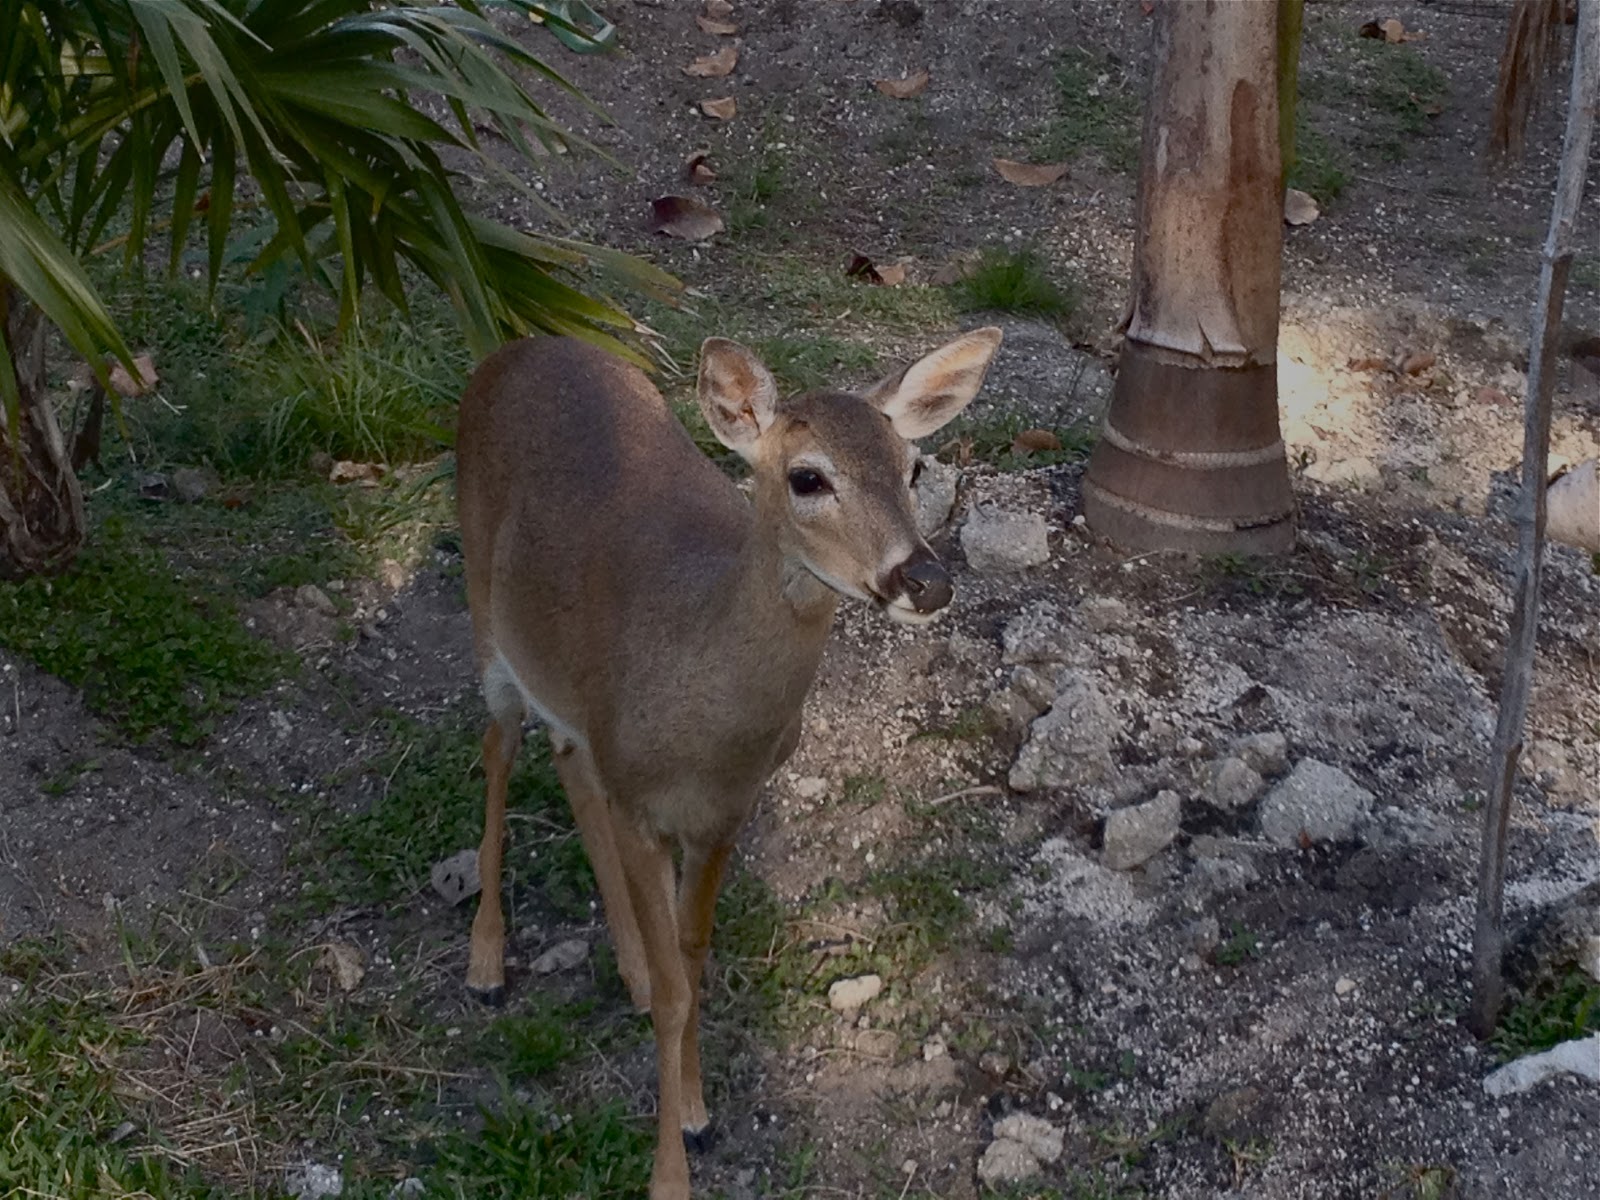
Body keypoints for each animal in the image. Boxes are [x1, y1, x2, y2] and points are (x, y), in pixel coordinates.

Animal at [454, 326, 1002, 1199]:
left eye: (914, 467)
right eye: (807, 476)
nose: (925, 580)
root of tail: (519, 347)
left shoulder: (726, 811)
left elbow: (692, 962)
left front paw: (694, 1110)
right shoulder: (643, 805)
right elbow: (681, 991)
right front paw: (671, 1171)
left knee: (568, 760)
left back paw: (629, 970)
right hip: (484, 614)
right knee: (500, 747)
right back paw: (485, 965)